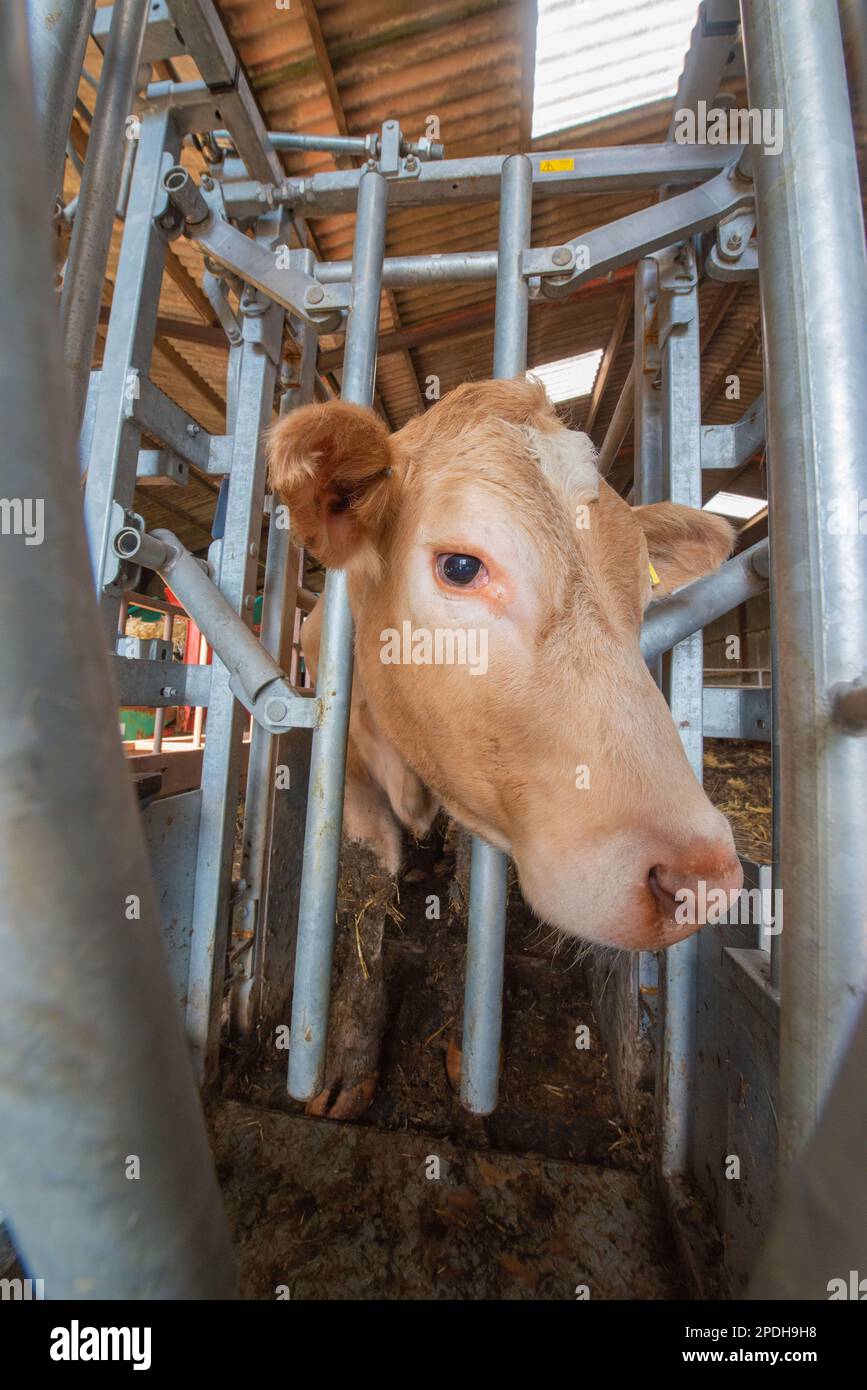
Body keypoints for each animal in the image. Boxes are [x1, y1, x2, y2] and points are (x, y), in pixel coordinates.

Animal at [267, 376, 743, 1116]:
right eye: (461, 566)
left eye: (639, 589)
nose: (698, 878)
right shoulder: (344, 768)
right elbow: (365, 890)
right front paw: (345, 1055)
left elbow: (471, 898)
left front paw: (467, 1047)